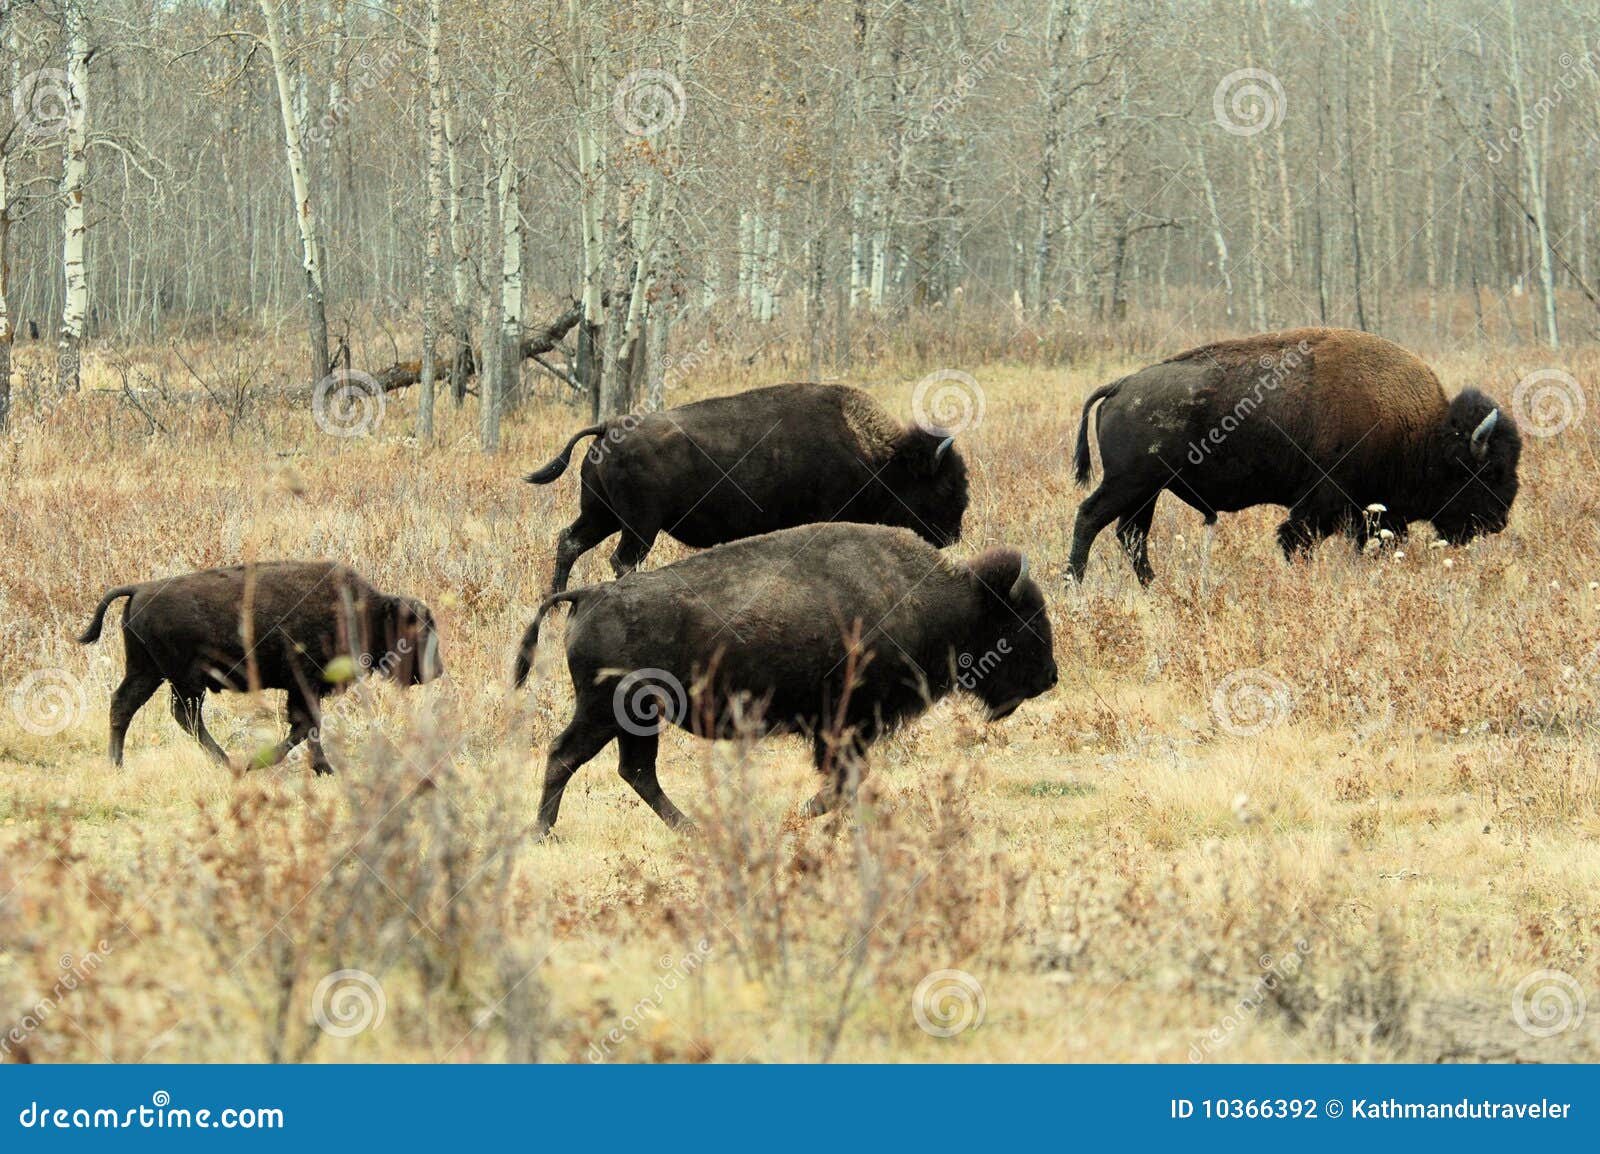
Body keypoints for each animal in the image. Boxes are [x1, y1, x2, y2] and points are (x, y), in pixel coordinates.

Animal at [78, 561, 443, 773]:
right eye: (419, 630)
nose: (436, 670)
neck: (367, 611)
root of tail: (140, 589)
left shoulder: (302, 688)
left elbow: (306, 726)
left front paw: (319, 767)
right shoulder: (305, 683)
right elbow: (306, 725)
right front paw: (270, 763)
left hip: (148, 671)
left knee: (126, 705)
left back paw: (118, 765)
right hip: (182, 680)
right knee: (183, 715)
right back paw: (226, 763)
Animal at [512, 522, 1057, 835]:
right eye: (1024, 621)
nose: (1050, 677)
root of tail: (588, 594)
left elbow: (850, 780)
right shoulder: (842, 725)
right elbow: (843, 781)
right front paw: (808, 813)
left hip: (634, 720)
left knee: (636, 770)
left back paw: (691, 831)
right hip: (605, 712)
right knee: (567, 756)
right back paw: (544, 831)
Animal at [525, 383, 969, 592]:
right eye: (944, 488)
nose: (952, 535)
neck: (879, 458)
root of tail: (610, 426)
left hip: (602, 515)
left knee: (570, 541)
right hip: (638, 526)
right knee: (621, 561)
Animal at [1068, 327, 1522, 583]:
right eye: (1487, 471)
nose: (1498, 521)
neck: (1424, 432)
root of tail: (1122, 385)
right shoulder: (1324, 503)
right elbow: (1296, 541)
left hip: (1148, 491)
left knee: (1130, 534)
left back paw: (1153, 586)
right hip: (1130, 482)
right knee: (1091, 518)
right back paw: (1074, 583)